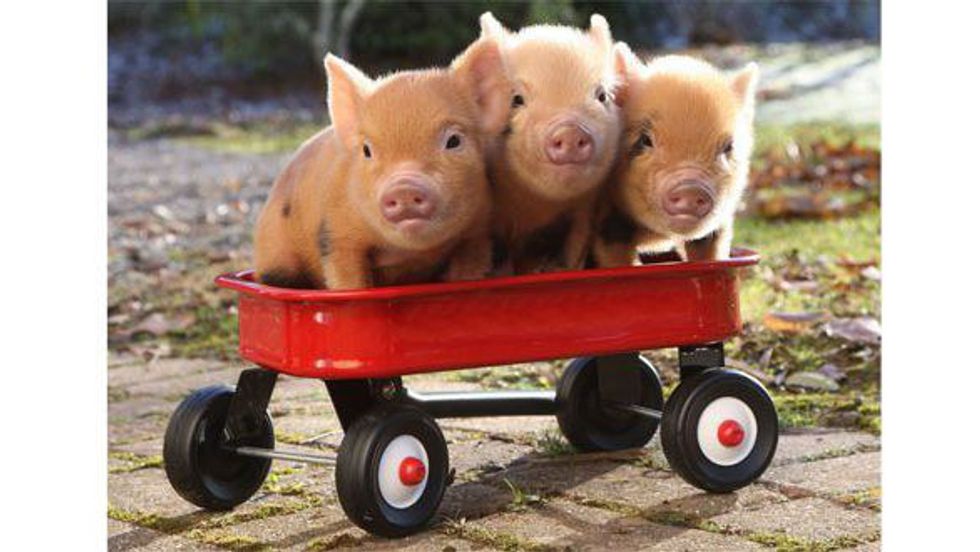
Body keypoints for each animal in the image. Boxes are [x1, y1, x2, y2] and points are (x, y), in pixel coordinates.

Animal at [253, 38, 511, 289]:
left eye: (454, 141)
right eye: (367, 150)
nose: (404, 186)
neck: (410, 253)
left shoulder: (478, 233)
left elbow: (468, 272)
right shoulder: (335, 235)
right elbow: (349, 280)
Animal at [478, 12, 625, 274]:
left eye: (601, 96)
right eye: (516, 99)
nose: (570, 130)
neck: (539, 206)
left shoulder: (586, 209)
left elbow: (574, 250)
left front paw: (553, 269)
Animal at [592, 45, 759, 266]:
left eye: (728, 147)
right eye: (646, 140)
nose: (691, 188)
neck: (657, 235)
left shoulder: (717, 225)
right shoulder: (608, 223)